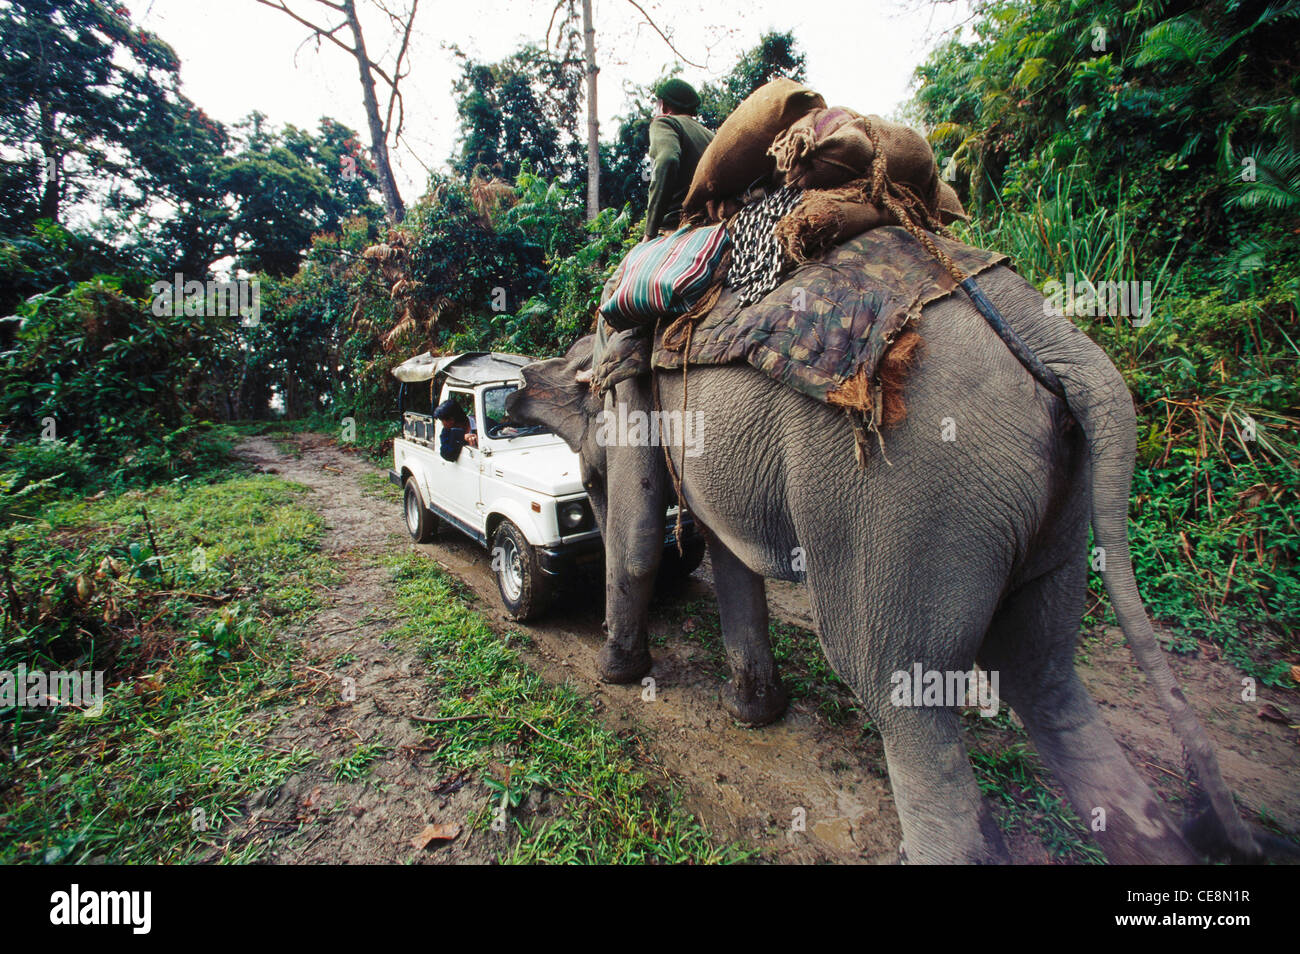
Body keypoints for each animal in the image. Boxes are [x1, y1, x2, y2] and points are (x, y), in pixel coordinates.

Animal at [505, 264, 1262, 865]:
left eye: (590, 478)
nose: (512, 391)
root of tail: (1059, 341)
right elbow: (728, 555)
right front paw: (753, 714)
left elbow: (637, 541)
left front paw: (614, 676)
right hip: (1060, 509)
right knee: (1045, 681)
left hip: (906, 497)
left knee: (899, 690)